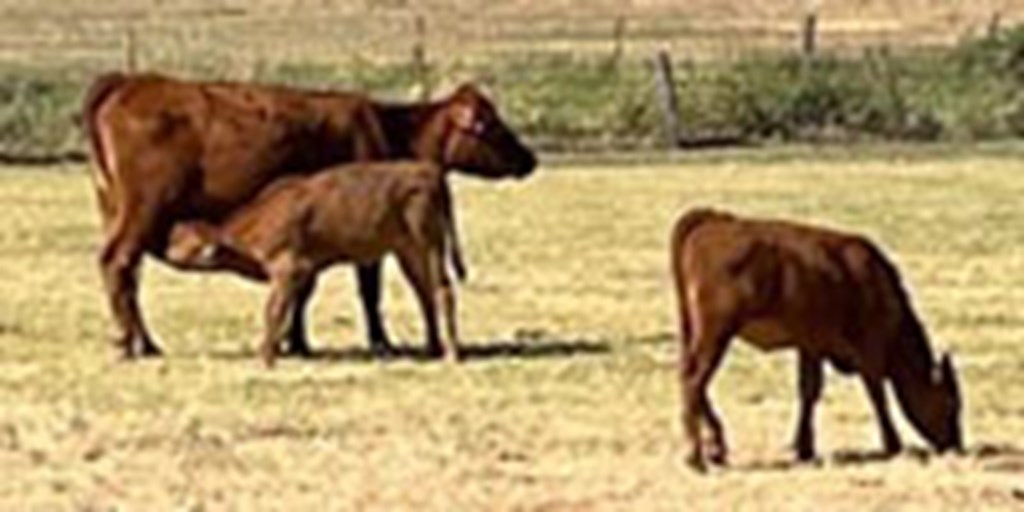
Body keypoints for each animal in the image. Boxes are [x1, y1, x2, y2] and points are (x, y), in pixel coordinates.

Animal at [163, 161, 463, 367]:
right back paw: (433, 348)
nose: (166, 251)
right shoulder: (304, 273)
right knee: (425, 294)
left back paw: (451, 354)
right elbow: (292, 308)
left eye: (184, 243)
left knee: (443, 290)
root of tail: (426, 169)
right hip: (408, 252)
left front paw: (266, 356)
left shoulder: (288, 270)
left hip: (430, 244)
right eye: (176, 234)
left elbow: (275, 310)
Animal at [669, 208, 962, 472]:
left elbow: (809, 391)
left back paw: (716, 449)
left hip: (697, 333)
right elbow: (876, 393)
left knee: (691, 380)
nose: (956, 445)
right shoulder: (869, 350)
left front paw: (805, 448)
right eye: (951, 403)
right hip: (716, 333)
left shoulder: (811, 346)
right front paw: (893, 444)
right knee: (694, 380)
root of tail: (714, 220)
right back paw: (695, 457)